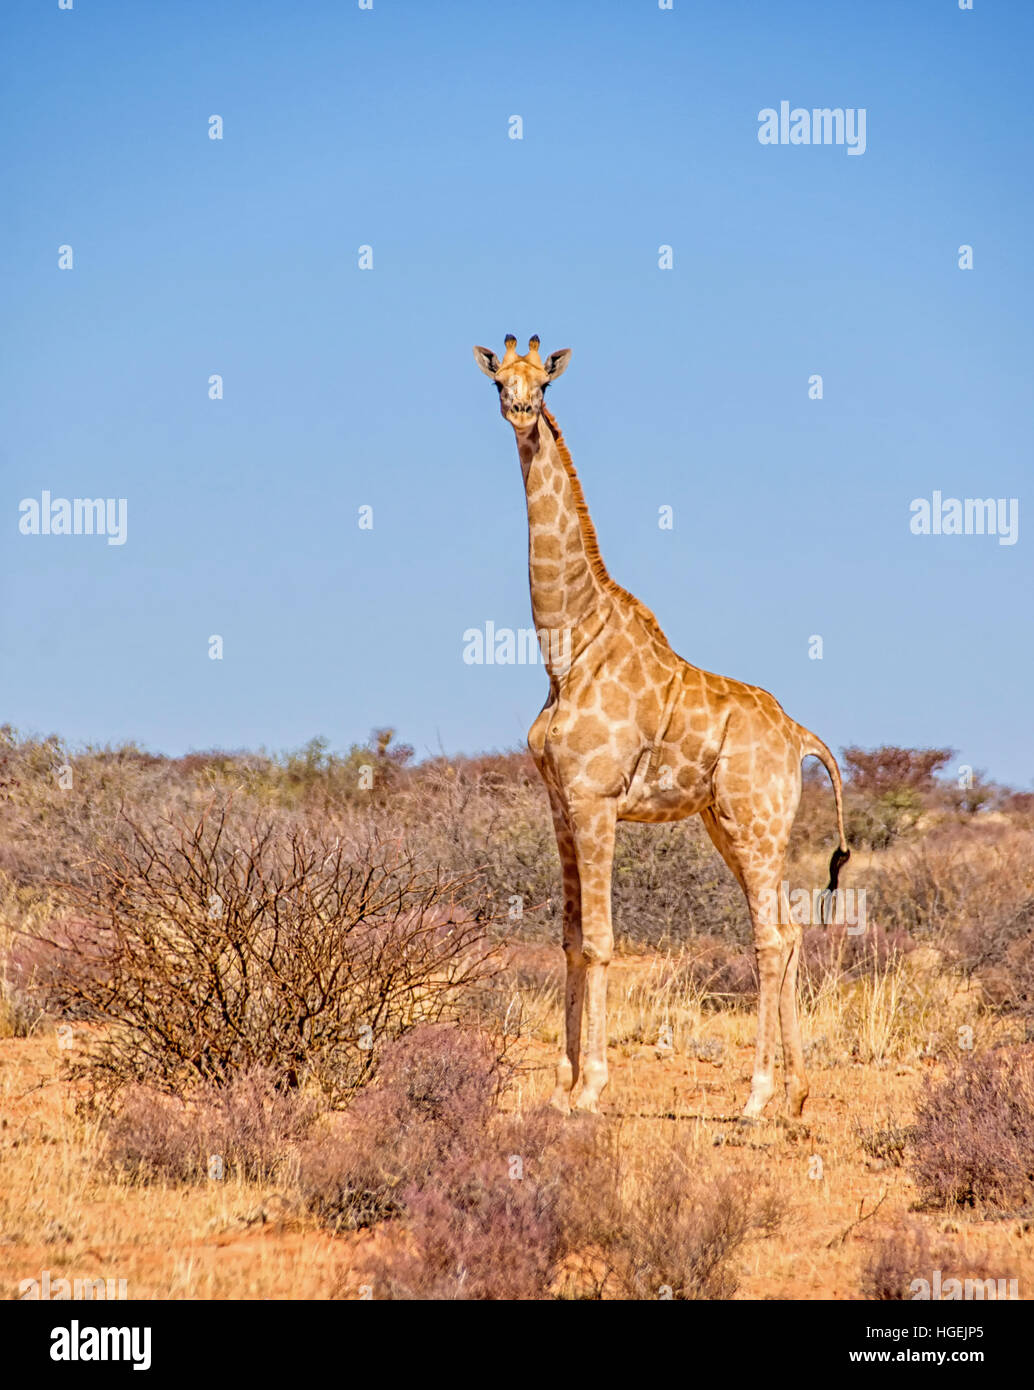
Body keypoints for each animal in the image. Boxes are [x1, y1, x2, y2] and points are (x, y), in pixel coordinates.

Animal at [473, 335, 850, 1119]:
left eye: (543, 383)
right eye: (498, 381)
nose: (520, 411)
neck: (566, 647)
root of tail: (802, 737)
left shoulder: (596, 802)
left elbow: (599, 941)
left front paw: (591, 1088)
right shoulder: (561, 803)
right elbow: (566, 938)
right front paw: (560, 1084)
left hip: (753, 823)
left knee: (770, 938)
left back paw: (756, 1098)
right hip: (730, 825)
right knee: (791, 929)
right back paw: (798, 1092)